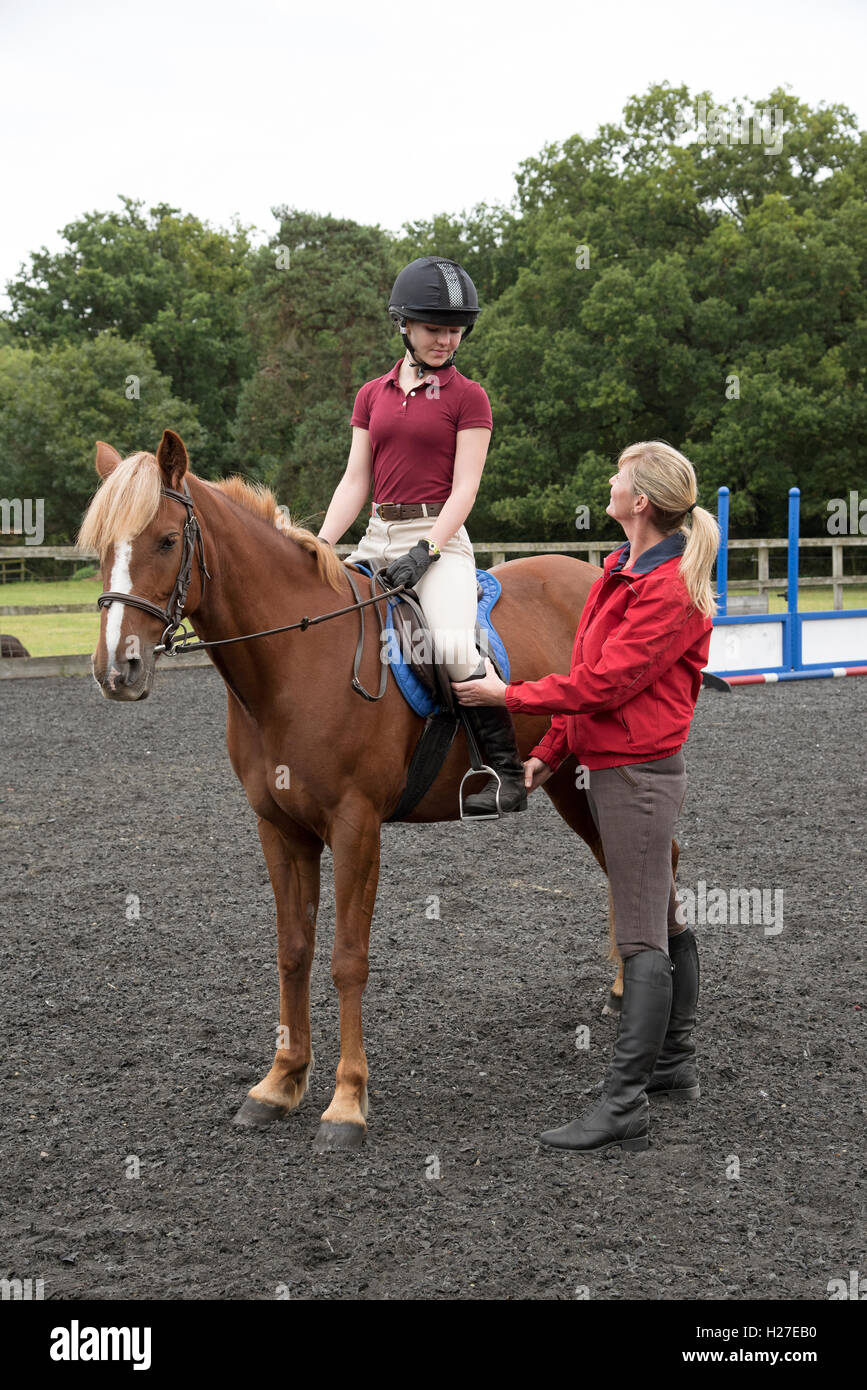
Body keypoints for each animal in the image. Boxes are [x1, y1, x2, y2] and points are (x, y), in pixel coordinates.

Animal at [80, 429, 675, 1151]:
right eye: (101, 549)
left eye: (167, 540)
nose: (118, 669)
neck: (294, 664)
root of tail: (600, 574)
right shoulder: (279, 828)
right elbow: (293, 951)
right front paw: (279, 1084)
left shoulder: (355, 826)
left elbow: (347, 960)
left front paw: (345, 1103)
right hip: (565, 780)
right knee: (620, 867)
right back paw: (620, 987)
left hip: (597, 776)